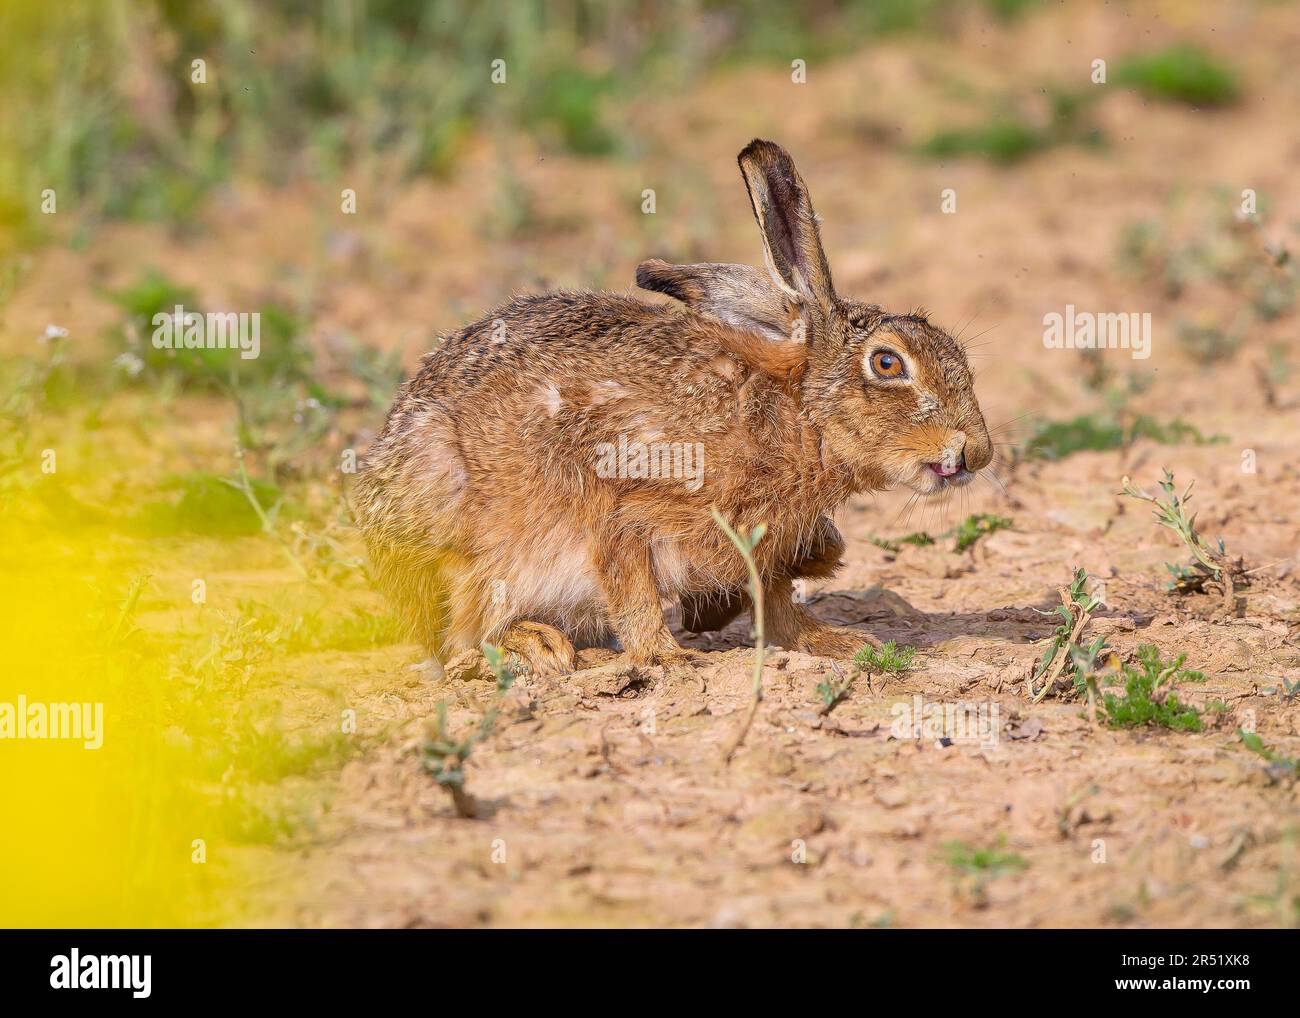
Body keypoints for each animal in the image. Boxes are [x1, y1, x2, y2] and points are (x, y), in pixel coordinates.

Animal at [351, 139, 993, 675]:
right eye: (887, 363)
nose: (977, 452)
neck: (795, 419)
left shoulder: (766, 548)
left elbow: (778, 603)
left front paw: (834, 640)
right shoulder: (627, 508)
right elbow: (633, 591)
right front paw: (668, 658)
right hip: (460, 525)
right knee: (460, 637)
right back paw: (534, 645)